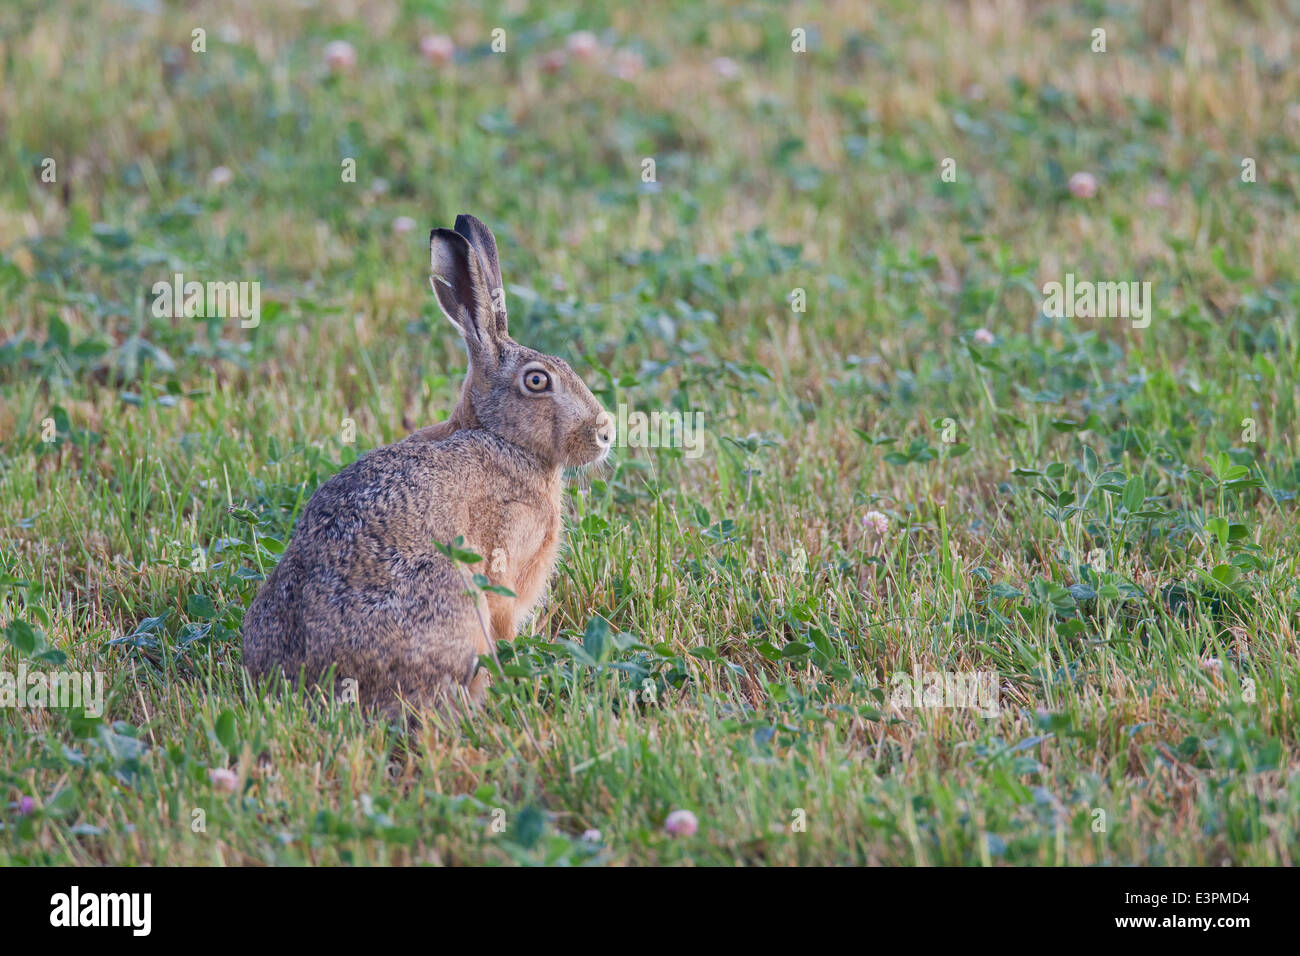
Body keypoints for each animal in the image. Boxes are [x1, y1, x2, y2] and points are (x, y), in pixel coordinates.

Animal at [242, 214, 614, 716]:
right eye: (537, 381)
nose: (606, 432)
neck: (500, 437)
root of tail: (307, 682)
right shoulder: (504, 554)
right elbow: (504, 620)